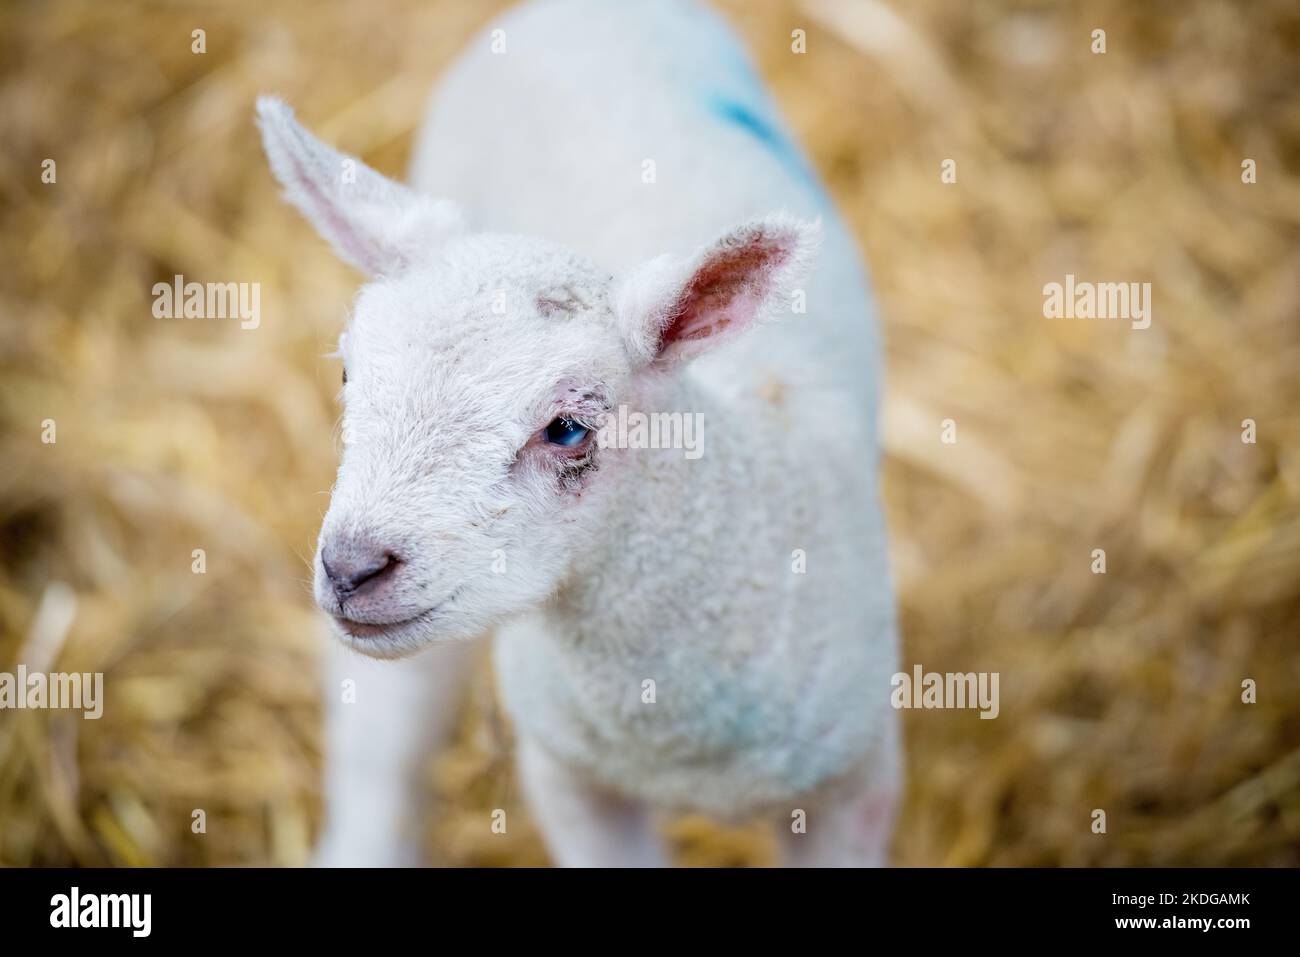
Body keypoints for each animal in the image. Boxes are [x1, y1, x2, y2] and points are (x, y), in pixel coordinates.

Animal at [257, 0, 900, 867]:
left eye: (567, 428)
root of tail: (580, 6)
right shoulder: (569, 775)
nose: (352, 567)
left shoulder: (855, 784)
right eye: (349, 376)